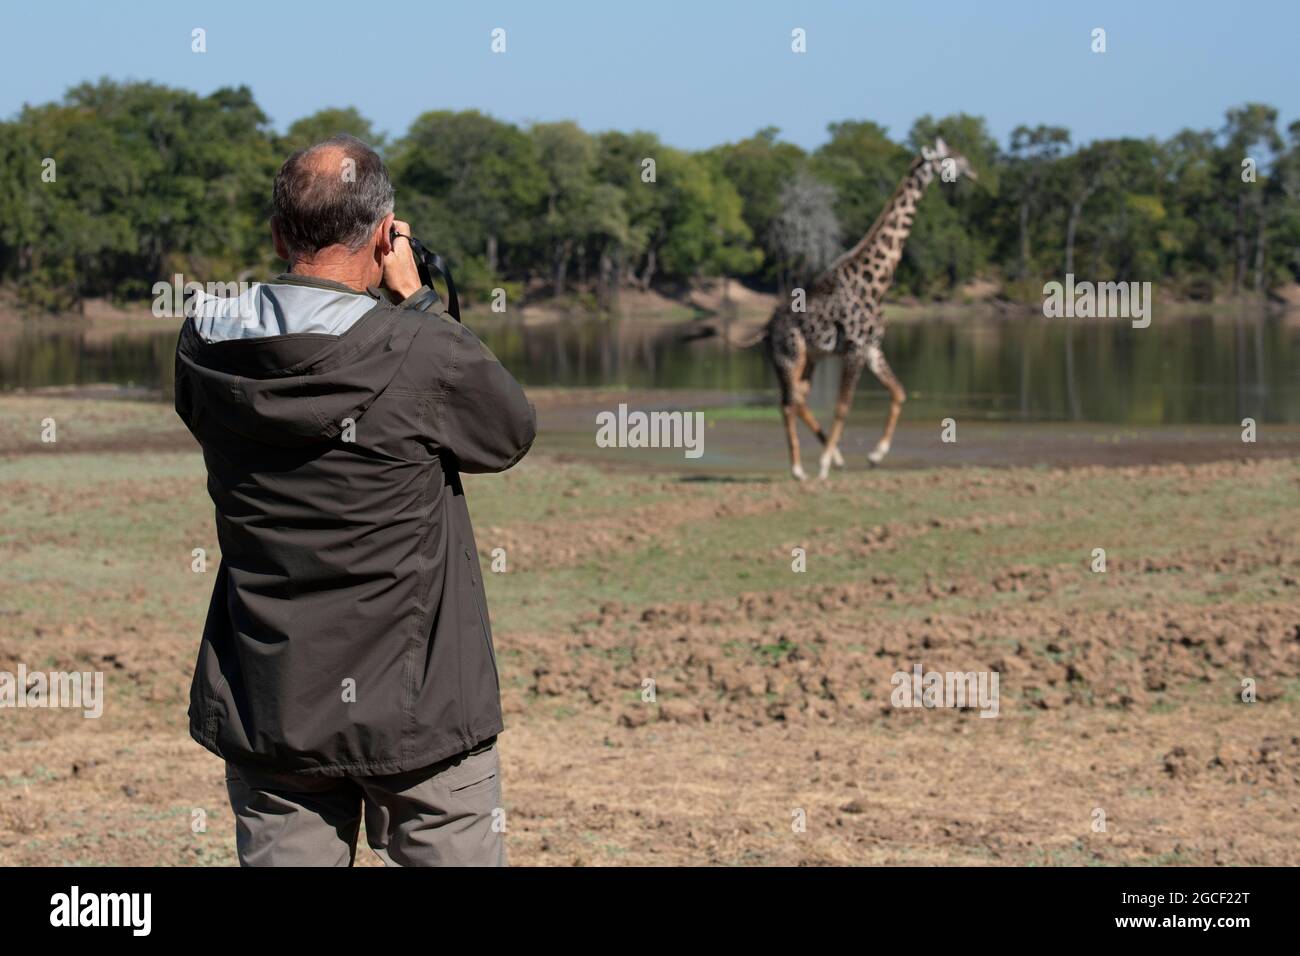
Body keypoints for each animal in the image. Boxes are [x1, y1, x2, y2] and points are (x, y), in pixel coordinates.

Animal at [763, 137, 976, 480]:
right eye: (949, 157)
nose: (972, 170)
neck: (877, 282)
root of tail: (766, 329)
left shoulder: (872, 348)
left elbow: (899, 392)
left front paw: (875, 455)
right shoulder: (854, 348)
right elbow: (843, 406)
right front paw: (823, 465)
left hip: (811, 358)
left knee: (798, 399)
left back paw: (829, 458)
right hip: (790, 356)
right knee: (788, 402)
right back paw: (799, 468)